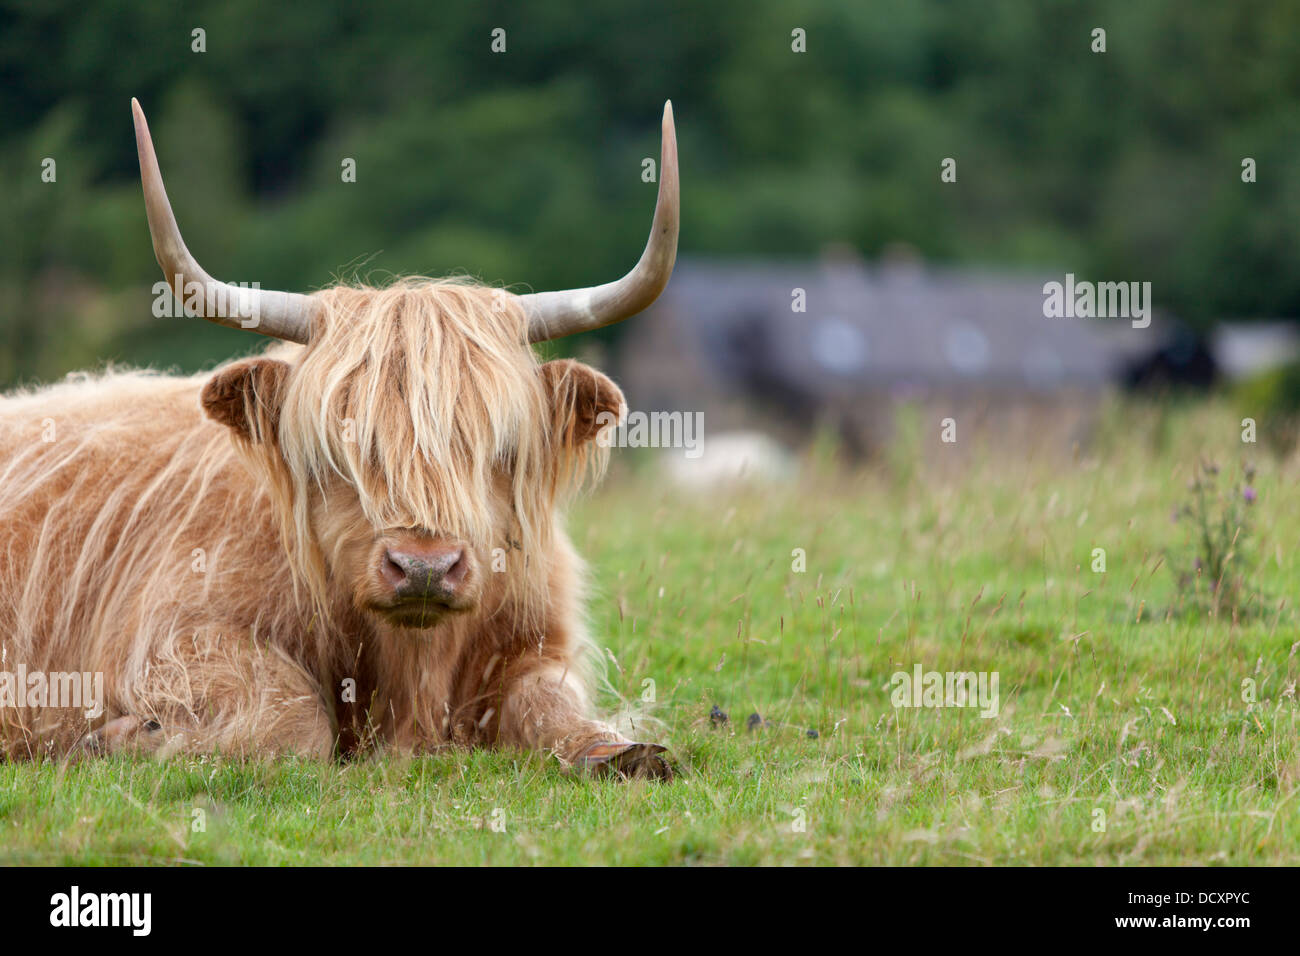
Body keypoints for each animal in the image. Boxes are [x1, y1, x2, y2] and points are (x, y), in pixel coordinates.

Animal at [0, 99, 679, 779]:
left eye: (499, 446)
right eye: (338, 452)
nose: (424, 567)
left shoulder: (541, 640)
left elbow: (550, 705)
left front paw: (624, 750)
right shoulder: (175, 634)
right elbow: (292, 720)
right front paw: (116, 737)